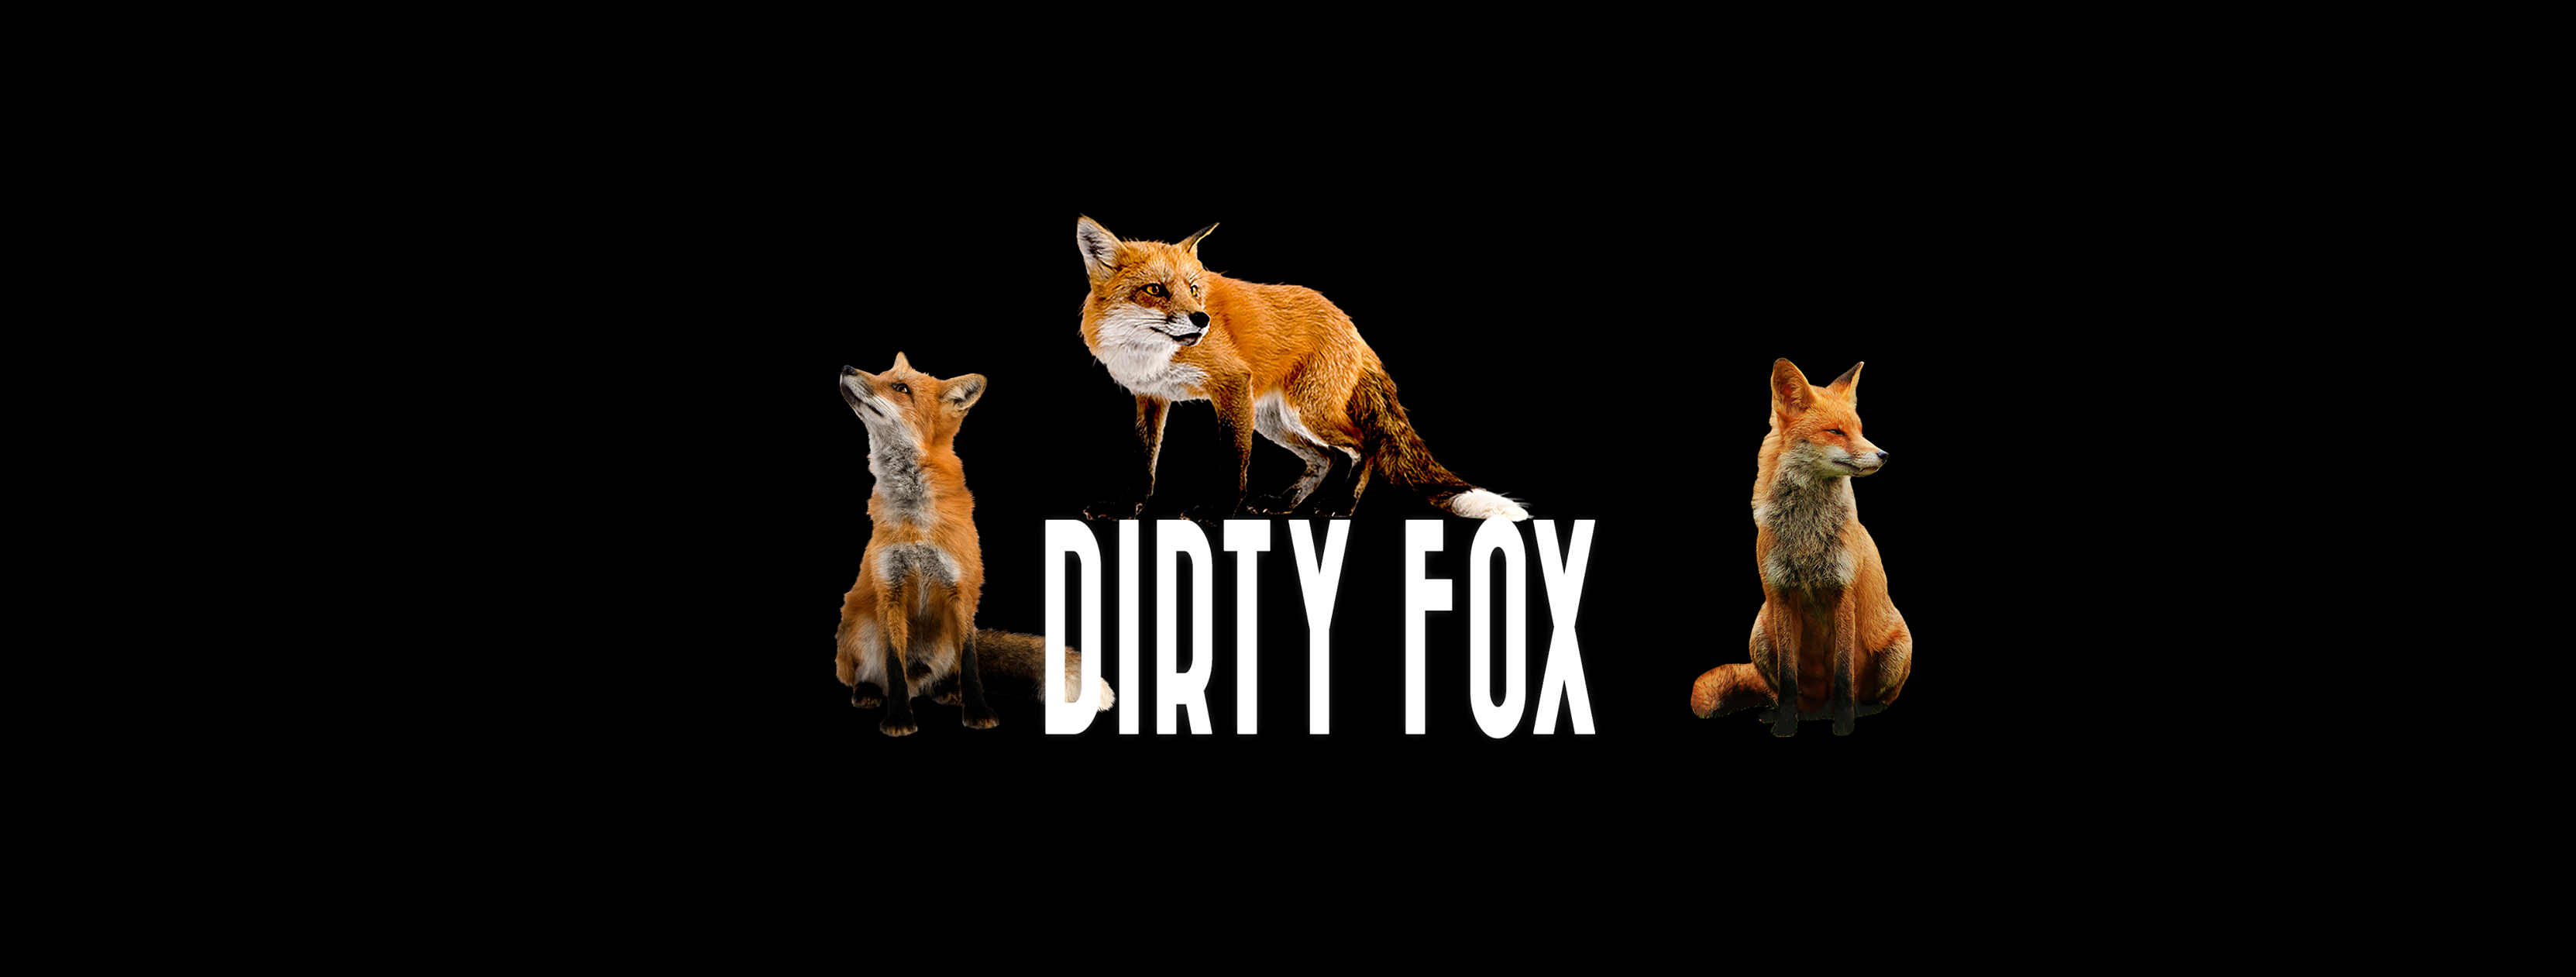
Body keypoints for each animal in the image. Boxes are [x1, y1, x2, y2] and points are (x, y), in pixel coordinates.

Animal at [836, 354, 1113, 736]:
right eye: (884, 374)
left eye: (900, 387)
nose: (847, 368)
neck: (917, 521)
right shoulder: (890, 589)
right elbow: (894, 664)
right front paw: (899, 718)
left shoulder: (961, 590)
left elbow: (970, 663)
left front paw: (978, 711)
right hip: (859, 626)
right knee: (876, 676)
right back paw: (869, 691)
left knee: (946, 673)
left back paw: (947, 691)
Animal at [1072, 215, 1526, 522]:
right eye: (1154, 289)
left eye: (1194, 289)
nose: (1202, 320)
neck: (1149, 352)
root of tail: (1350, 324)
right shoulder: (1151, 397)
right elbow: (1143, 461)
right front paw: (1127, 507)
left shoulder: (1230, 385)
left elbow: (1233, 462)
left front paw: (1220, 511)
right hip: (1274, 421)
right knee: (1324, 459)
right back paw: (1285, 503)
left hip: (1306, 413)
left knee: (1364, 447)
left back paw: (1341, 506)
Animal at [1690, 359, 1911, 737]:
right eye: (1836, 432)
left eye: (1859, 429)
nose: (1883, 455)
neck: (1806, 536)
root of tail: (1819, 707)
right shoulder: (1780, 594)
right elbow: (1789, 679)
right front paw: (1785, 725)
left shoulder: (1843, 594)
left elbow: (1843, 676)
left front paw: (1844, 724)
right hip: (1760, 635)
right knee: (1779, 689)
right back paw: (1785, 713)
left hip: (1898, 649)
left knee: (1877, 697)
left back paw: (1862, 710)